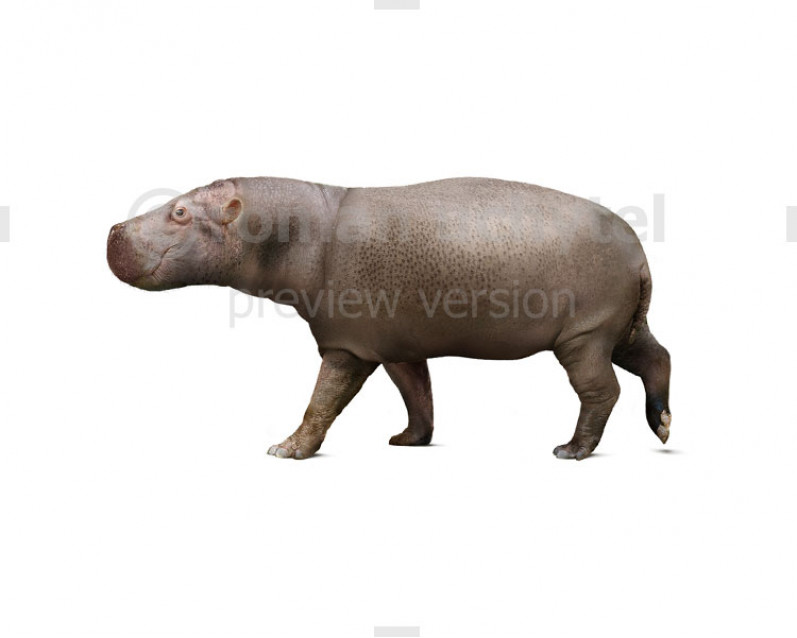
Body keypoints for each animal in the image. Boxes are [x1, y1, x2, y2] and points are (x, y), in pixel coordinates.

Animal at [107, 177, 671, 460]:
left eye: (180, 213)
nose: (113, 228)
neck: (290, 227)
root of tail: (639, 250)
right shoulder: (396, 342)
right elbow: (417, 393)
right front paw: (408, 442)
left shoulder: (346, 344)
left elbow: (322, 400)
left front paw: (284, 449)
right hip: (621, 328)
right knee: (657, 357)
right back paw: (662, 426)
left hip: (584, 335)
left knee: (601, 390)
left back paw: (570, 450)